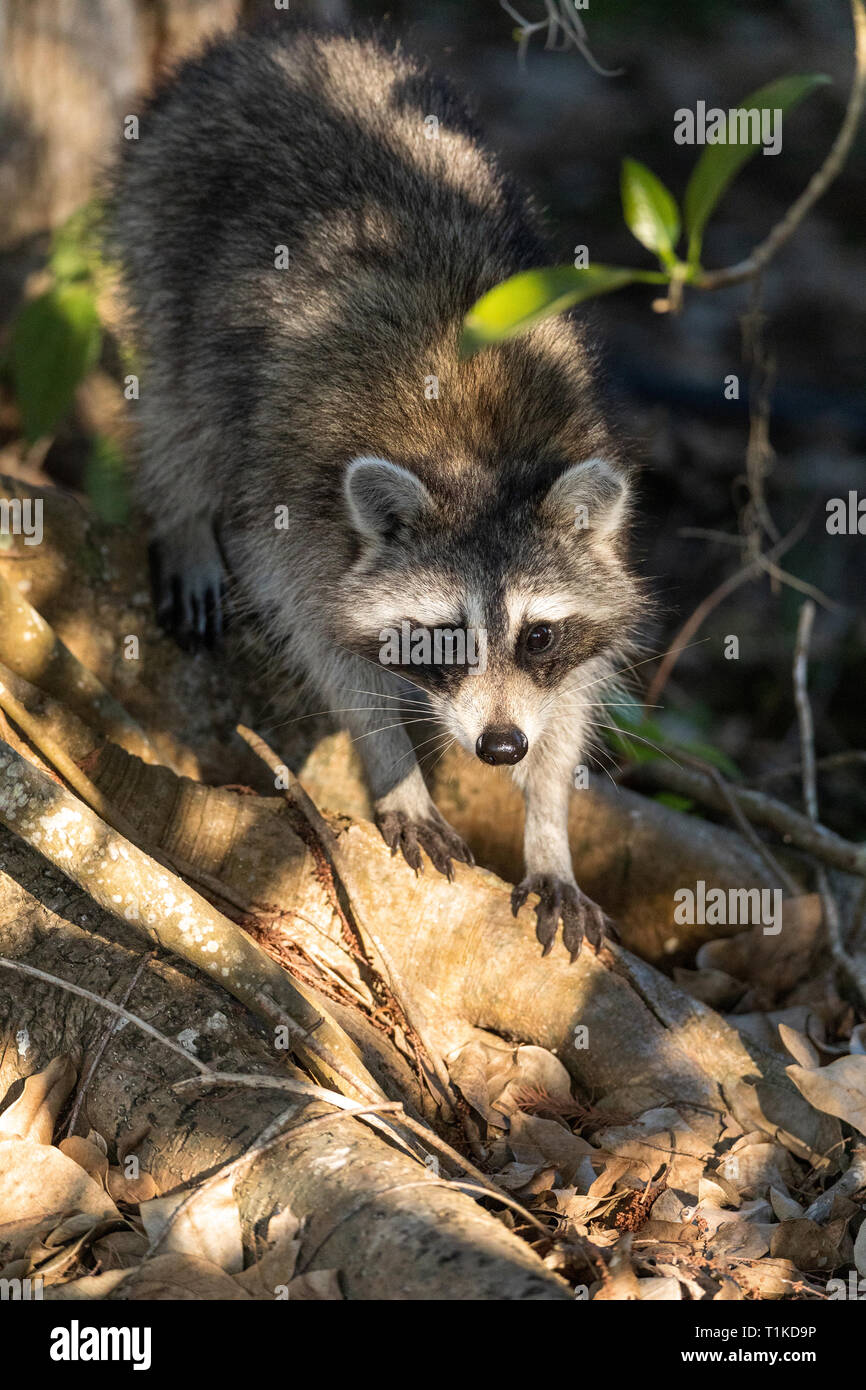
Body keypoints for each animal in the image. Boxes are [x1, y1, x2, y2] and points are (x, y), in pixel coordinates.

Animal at [112, 20, 642, 960]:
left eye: (539, 635)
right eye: (443, 632)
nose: (499, 749)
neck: (480, 455)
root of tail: (277, 40)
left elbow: (573, 691)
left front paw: (548, 820)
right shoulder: (297, 510)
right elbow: (321, 637)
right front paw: (393, 762)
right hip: (163, 213)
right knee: (183, 402)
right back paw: (182, 517)